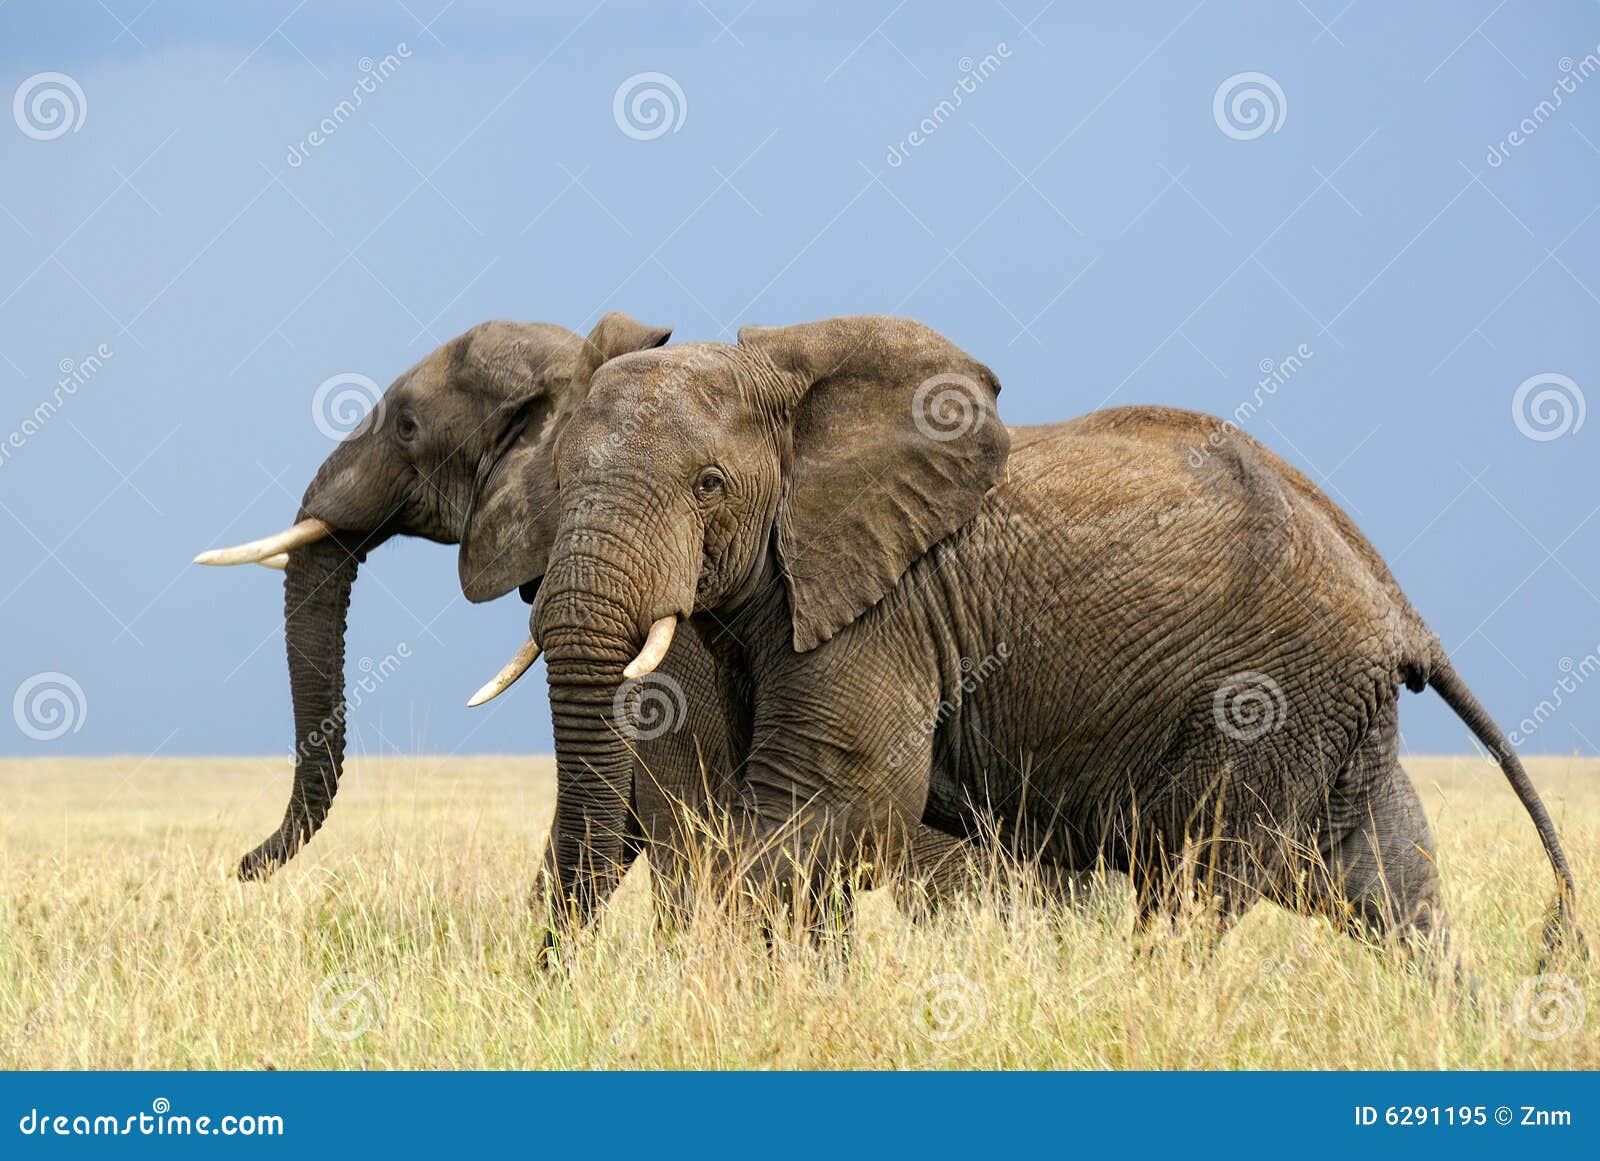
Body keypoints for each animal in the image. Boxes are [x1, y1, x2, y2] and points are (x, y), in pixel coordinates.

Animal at [475, 313, 1578, 964]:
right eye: (558, 476)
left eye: (707, 485)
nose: (547, 982)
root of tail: (1396, 604)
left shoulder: (884, 608)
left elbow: (834, 803)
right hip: (1330, 709)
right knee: (1383, 884)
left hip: (1270, 697)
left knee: (1196, 881)